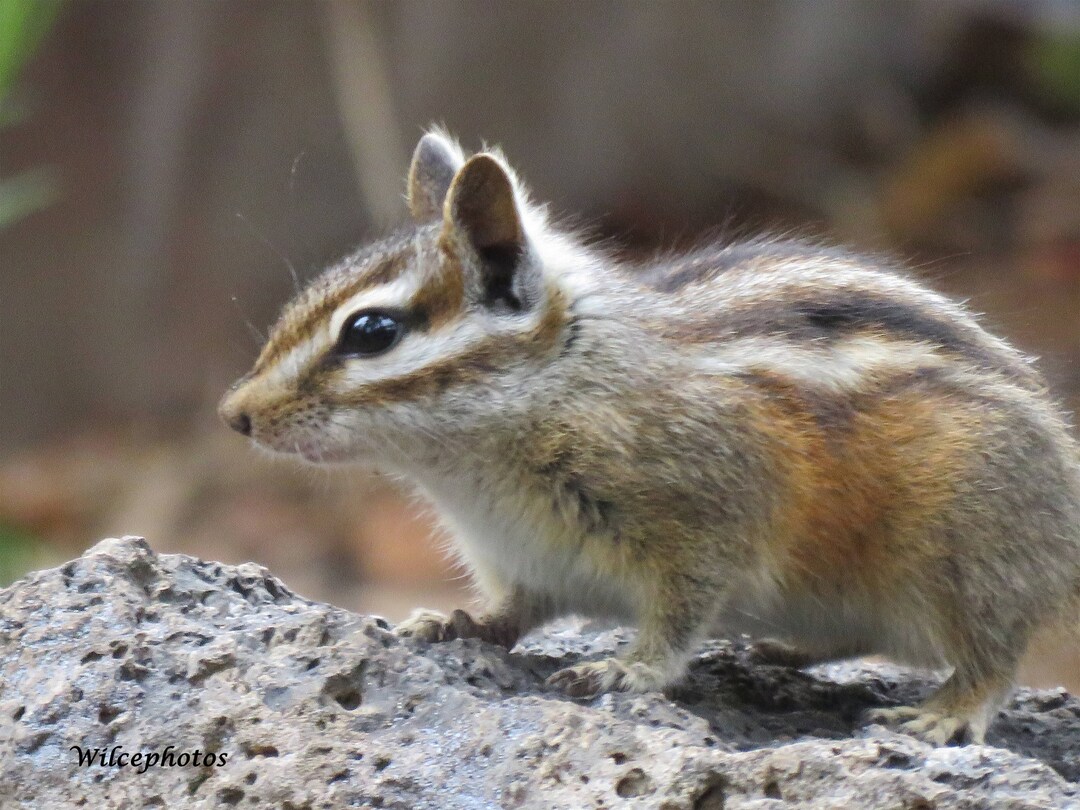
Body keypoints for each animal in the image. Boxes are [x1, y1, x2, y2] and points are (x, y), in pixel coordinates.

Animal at [219, 129, 1080, 745]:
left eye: (371, 331)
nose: (236, 414)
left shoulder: (709, 520)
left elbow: (681, 611)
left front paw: (629, 669)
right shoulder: (522, 558)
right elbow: (513, 612)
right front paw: (456, 622)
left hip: (972, 548)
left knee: (995, 650)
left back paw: (947, 710)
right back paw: (782, 650)